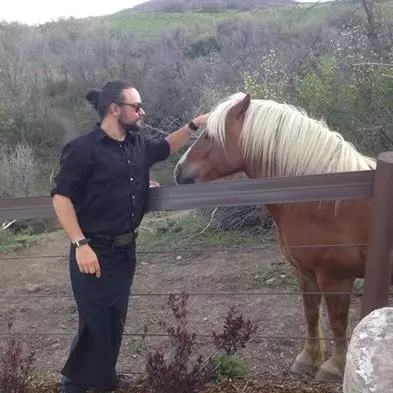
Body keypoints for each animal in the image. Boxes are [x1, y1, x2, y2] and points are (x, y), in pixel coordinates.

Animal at [173, 92, 378, 380]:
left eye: (210, 136)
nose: (179, 171)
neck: (327, 199)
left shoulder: (336, 278)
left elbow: (338, 322)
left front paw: (334, 367)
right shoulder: (305, 273)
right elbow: (311, 314)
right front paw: (308, 359)